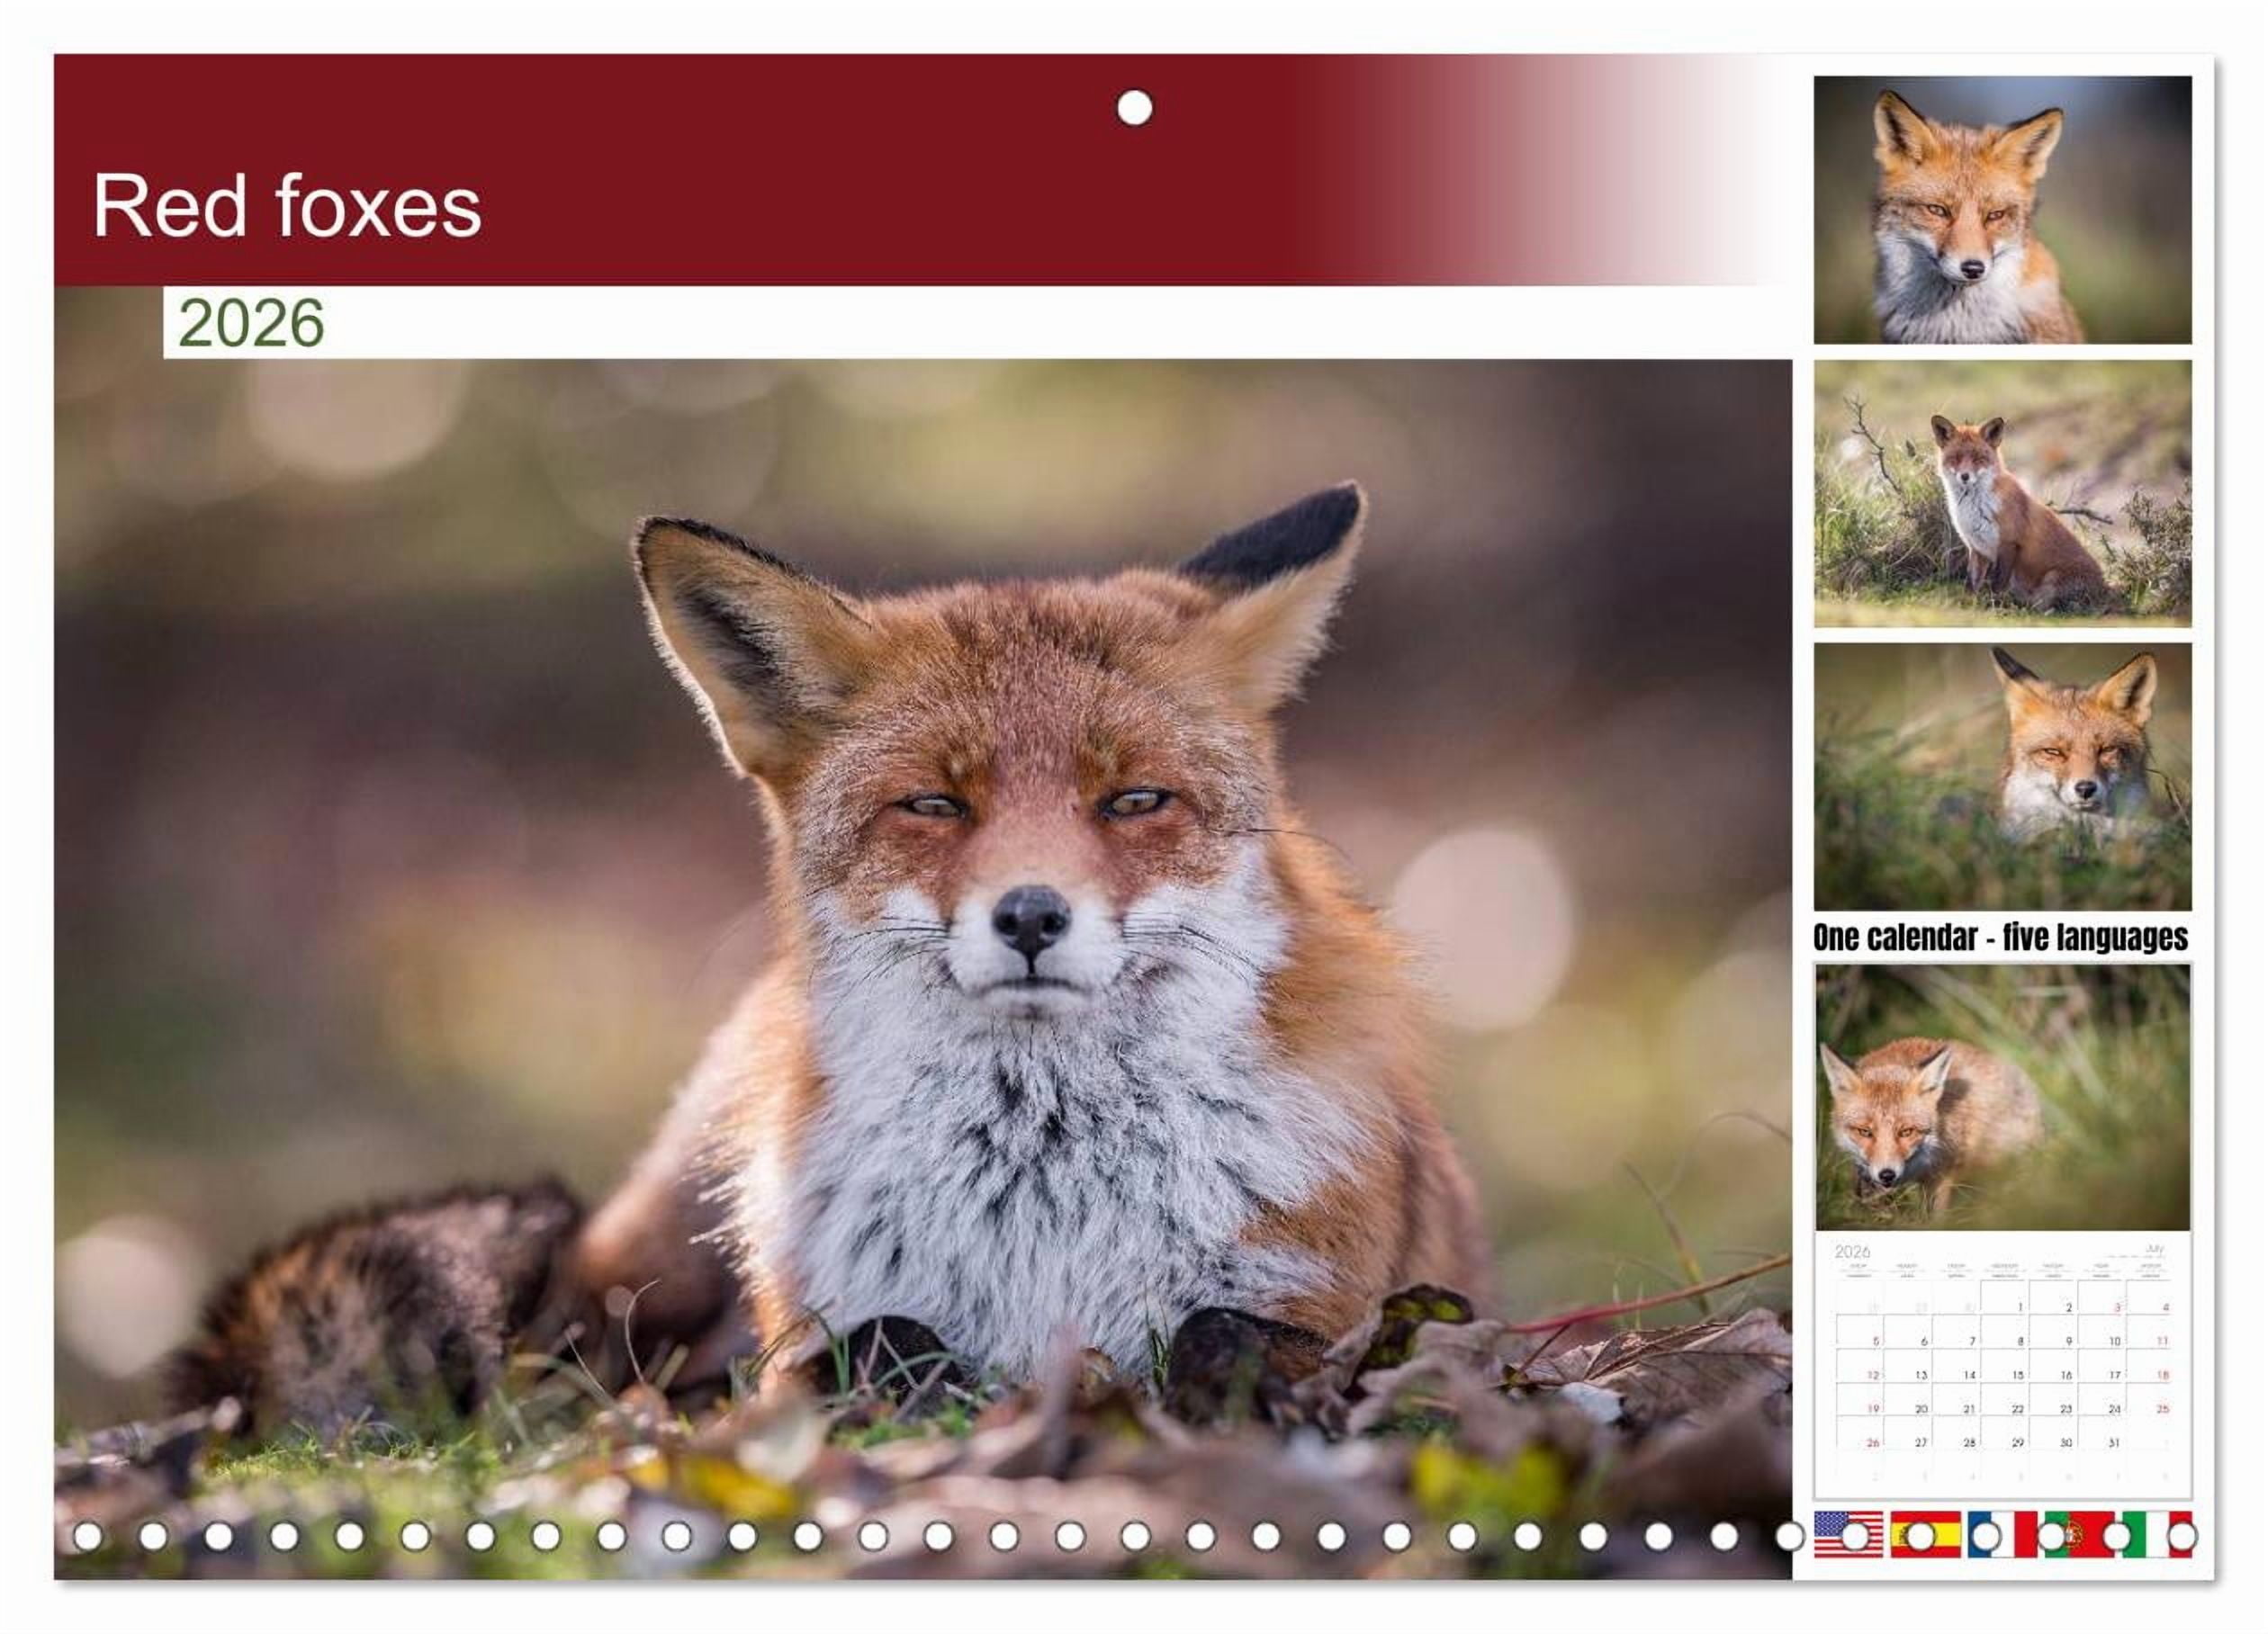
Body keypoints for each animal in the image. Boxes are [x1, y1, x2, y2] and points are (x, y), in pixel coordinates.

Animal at [168, 484, 1489, 1437]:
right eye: (934, 804)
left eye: (1134, 800)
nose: (1030, 916)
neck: (1048, 1186)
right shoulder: (811, 1321)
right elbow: (865, 1352)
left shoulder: (1356, 1306)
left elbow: (1233, 1338)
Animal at [1931, 414, 2112, 611]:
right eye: (1955, 458)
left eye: (1979, 458)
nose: (1965, 476)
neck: (1975, 507)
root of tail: (2106, 588)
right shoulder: (1977, 549)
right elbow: (1972, 583)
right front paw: (1970, 604)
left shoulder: (2009, 543)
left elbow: (1998, 584)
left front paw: (1994, 606)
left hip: (2052, 579)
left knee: (2048, 606)